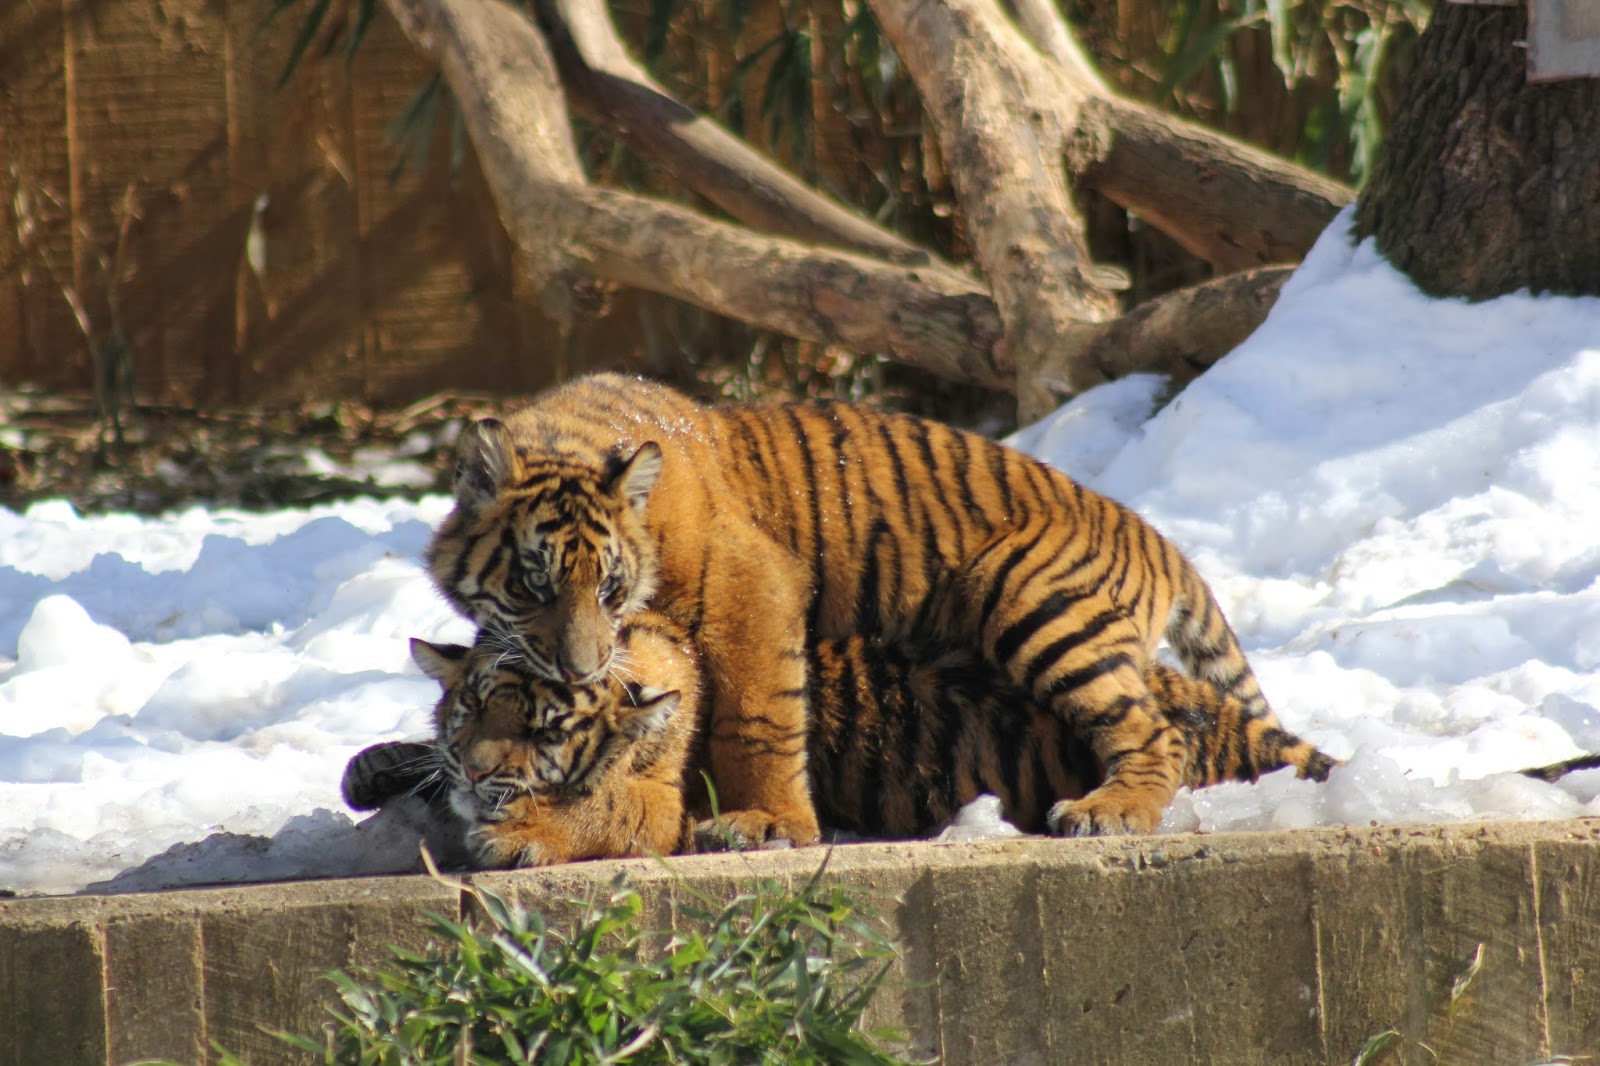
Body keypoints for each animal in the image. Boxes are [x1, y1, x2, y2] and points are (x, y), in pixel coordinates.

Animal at [425, 372, 1293, 844]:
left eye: (608, 588)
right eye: (534, 585)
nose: (585, 667)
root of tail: (1157, 537)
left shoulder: (753, 587)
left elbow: (759, 713)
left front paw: (768, 824)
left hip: (1031, 596)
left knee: (1153, 730)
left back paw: (1109, 811)